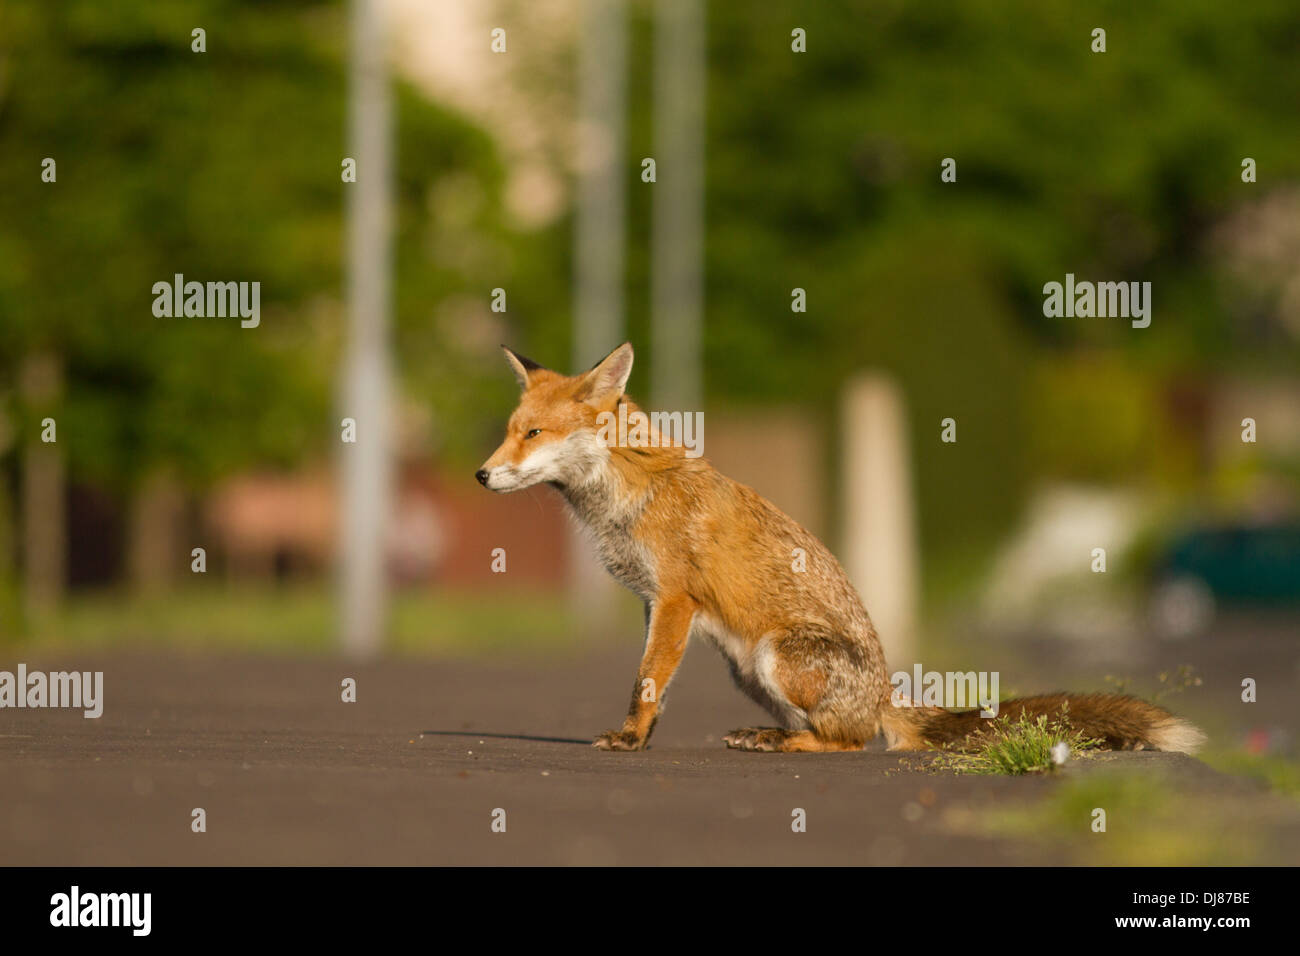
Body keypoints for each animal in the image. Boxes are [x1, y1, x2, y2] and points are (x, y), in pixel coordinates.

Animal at [476, 342, 1206, 755]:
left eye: (533, 433)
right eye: (509, 430)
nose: (481, 475)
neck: (630, 490)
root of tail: (884, 693)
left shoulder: (677, 599)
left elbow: (646, 681)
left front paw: (629, 739)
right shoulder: (653, 604)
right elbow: (650, 679)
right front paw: (643, 737)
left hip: (777, 653)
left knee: (852, 742)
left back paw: (787, 744)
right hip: (747, 669)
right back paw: (771, 735)